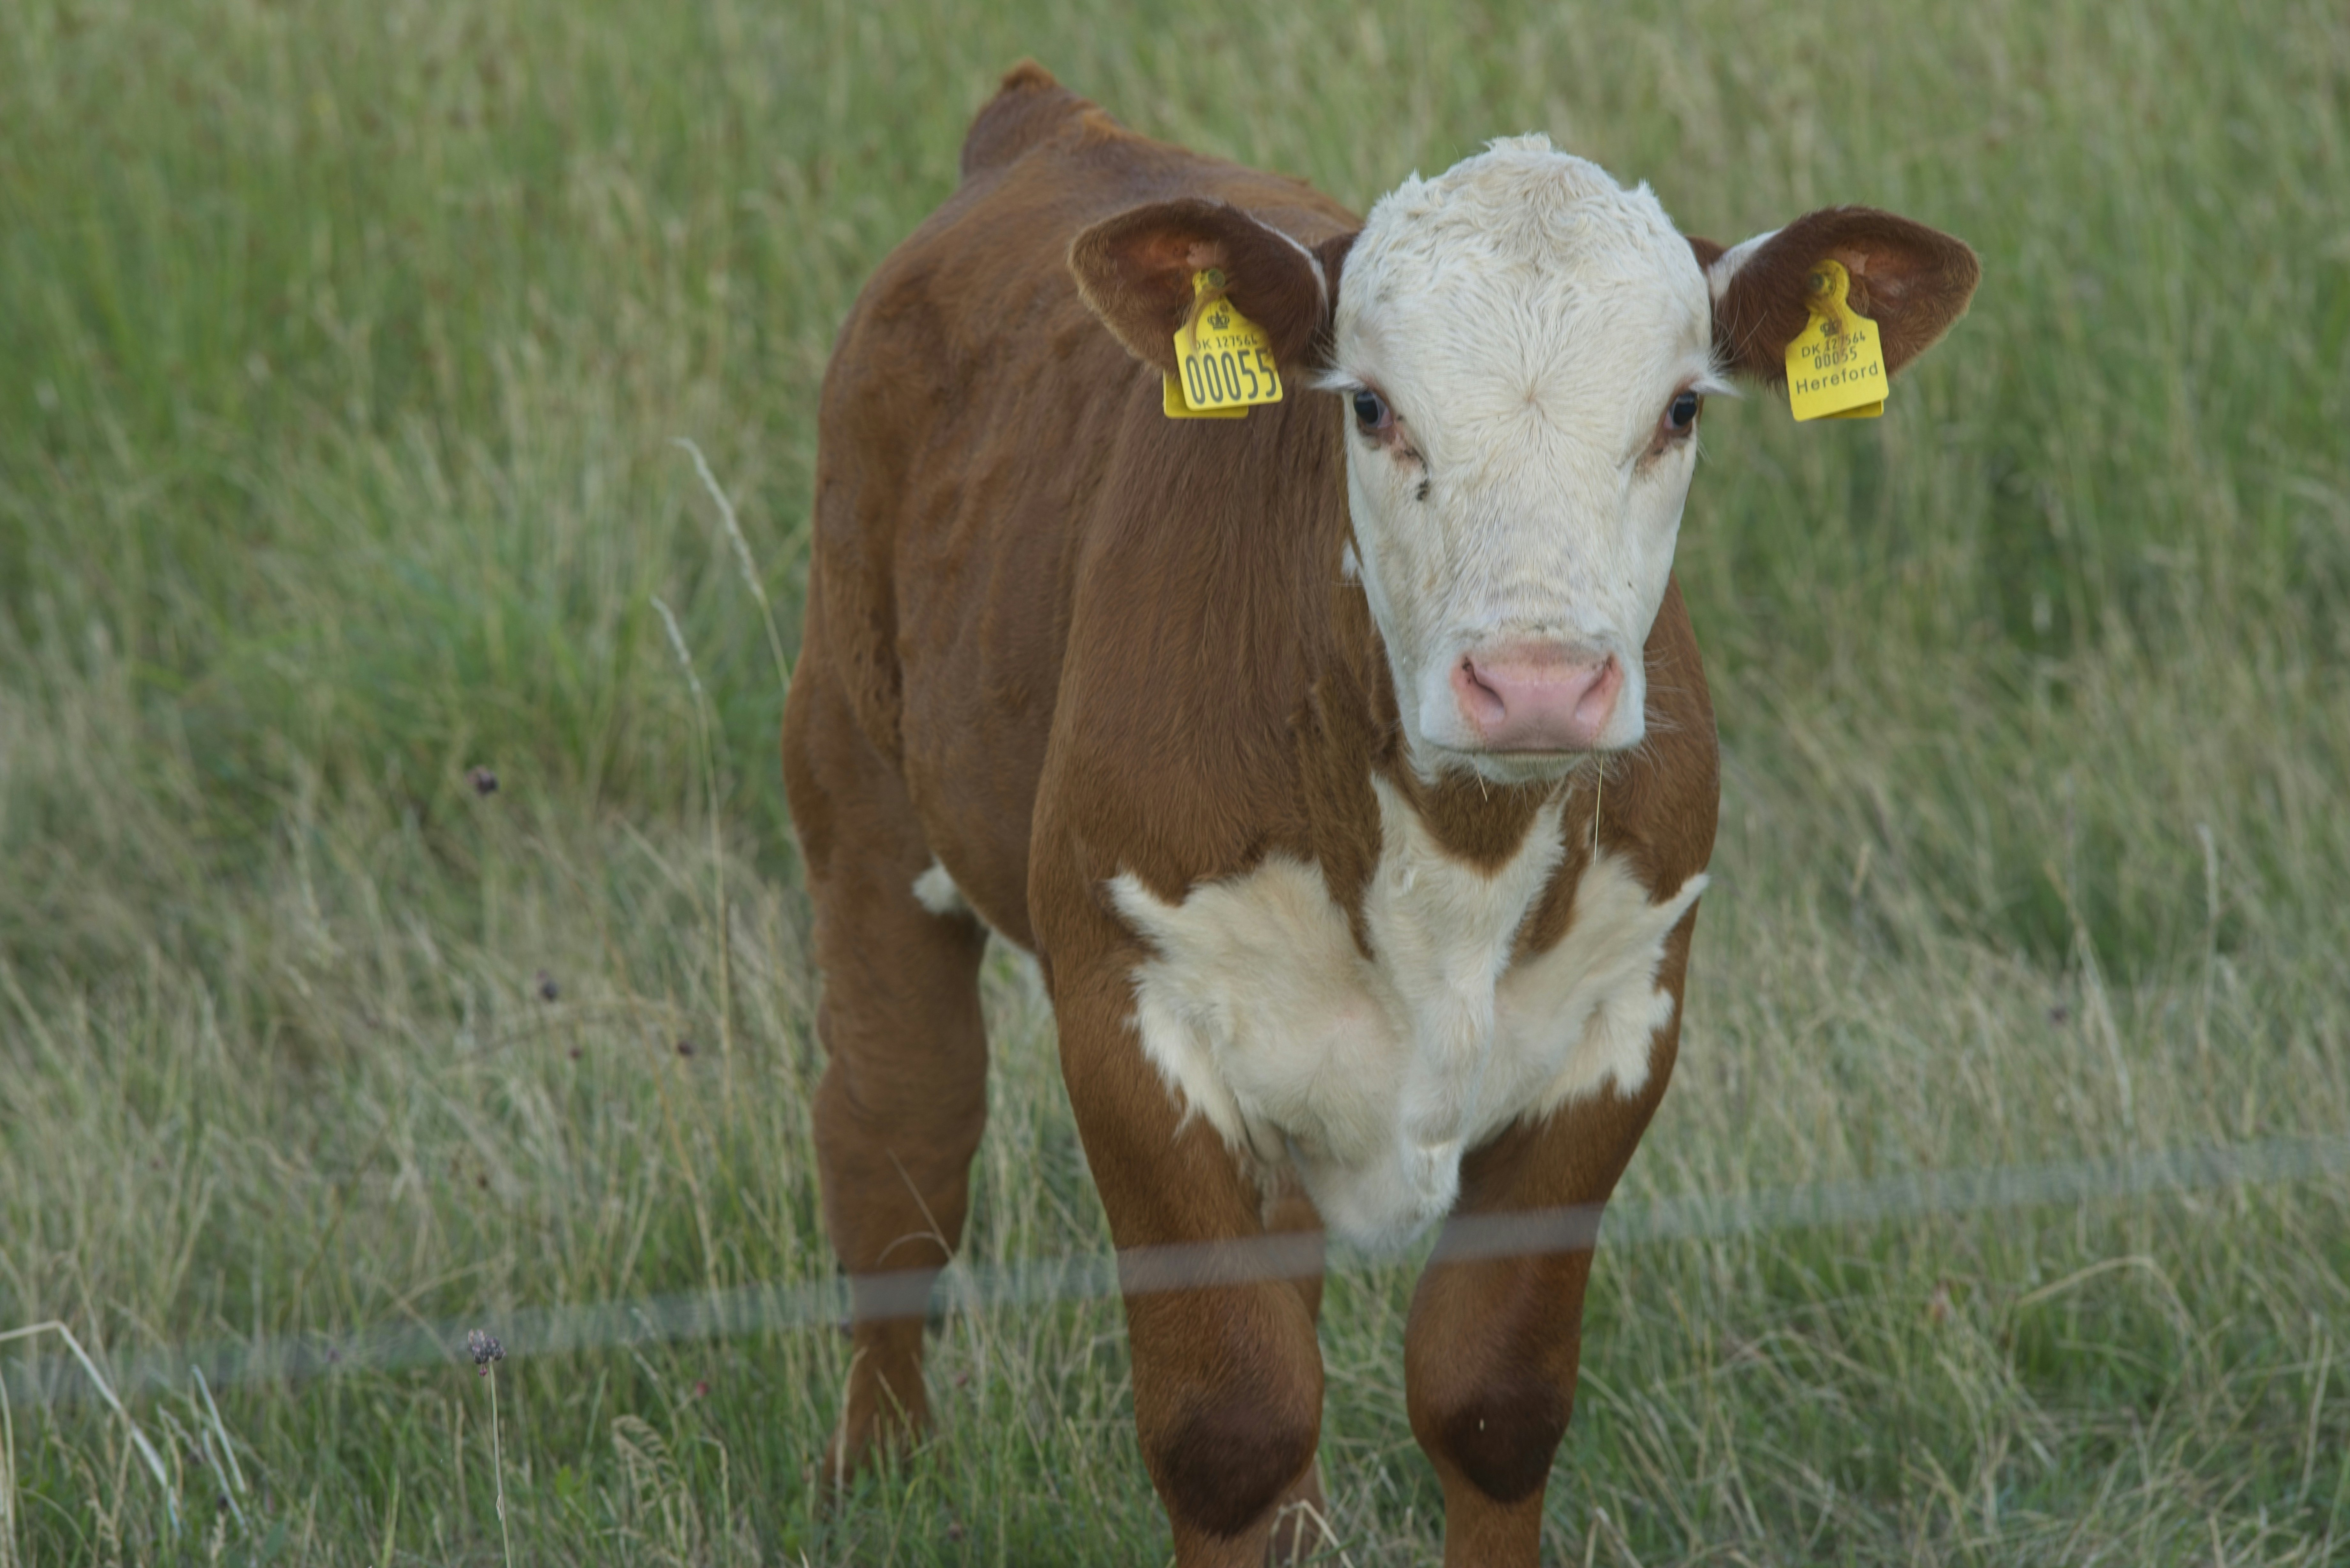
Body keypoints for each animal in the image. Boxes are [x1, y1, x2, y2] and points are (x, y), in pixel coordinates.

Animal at [782, 61, 1978, 1566]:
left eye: (1681, 411)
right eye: (1370, 407)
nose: (1535, 680)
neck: (1455, 859)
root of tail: (1051, 120)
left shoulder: (1625, 1013)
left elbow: (1491, 1399)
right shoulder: (1130, 1011)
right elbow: (1226, 1425)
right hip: (859, 786)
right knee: (899, 1147)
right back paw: (872, 1470)